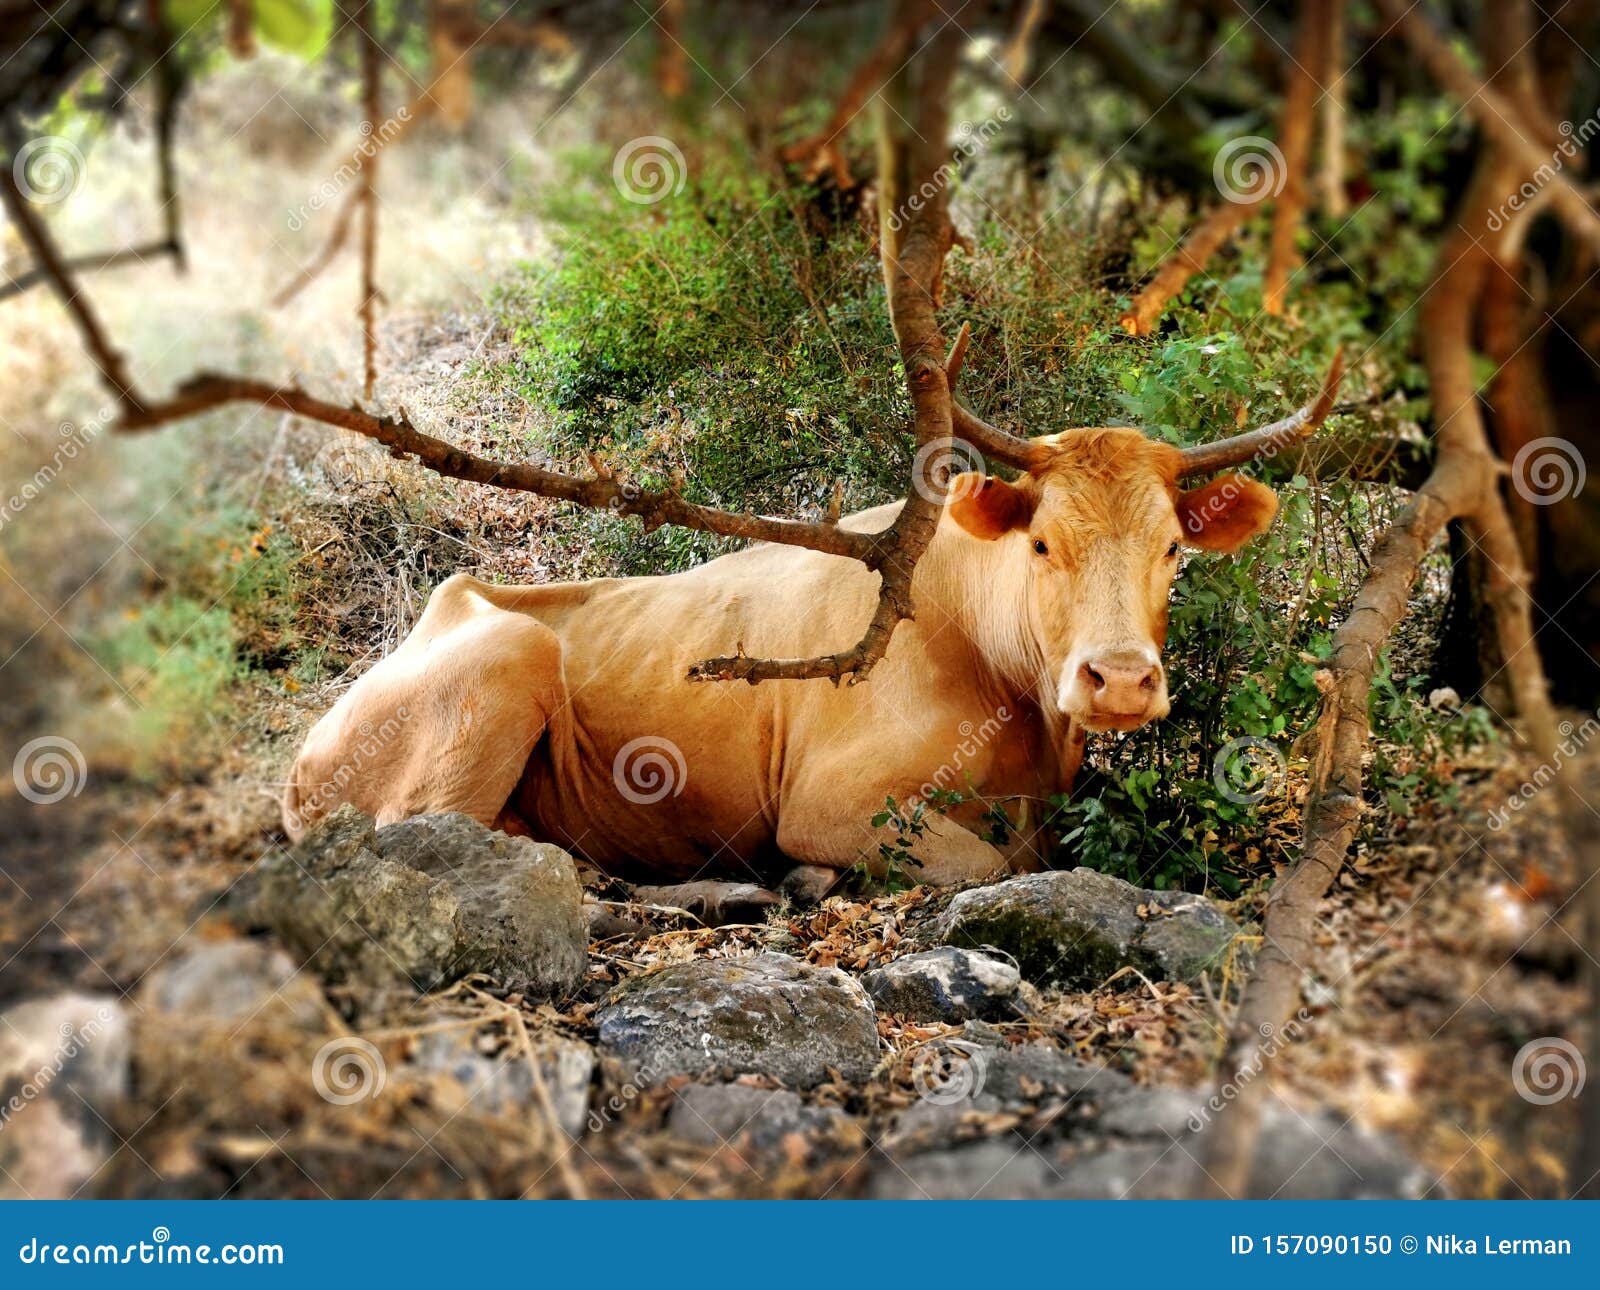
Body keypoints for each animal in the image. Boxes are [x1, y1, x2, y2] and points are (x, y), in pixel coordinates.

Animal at [282, 426, 1280, 888]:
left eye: (1173, 549)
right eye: (1043, 546)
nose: (1121, 679)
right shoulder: (830, 802)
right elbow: (994, 867)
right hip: (505, 656)